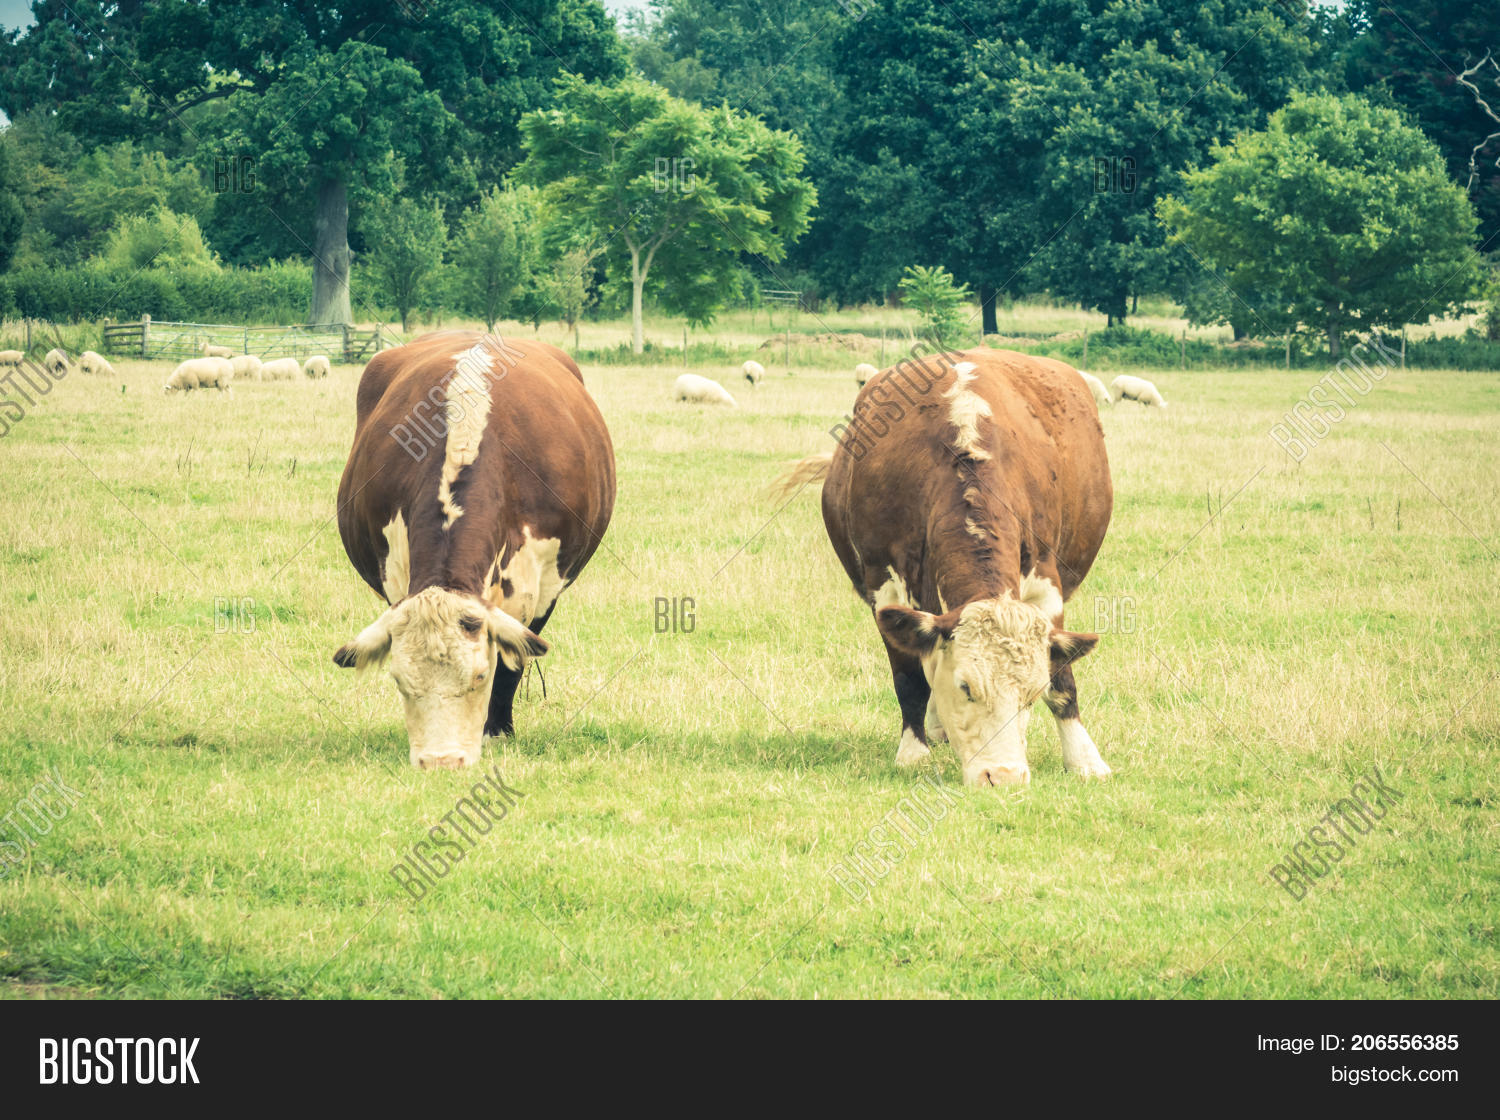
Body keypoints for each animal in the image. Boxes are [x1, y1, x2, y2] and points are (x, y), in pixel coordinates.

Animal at [334, 331, 616, 770]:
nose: (441, 762)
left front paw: (497, 730)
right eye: (399, 680)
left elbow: (512, 663)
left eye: (479, 676)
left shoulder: (532, 584)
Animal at [779, 347, 1114, 786]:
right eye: (966, 687)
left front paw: (1083, 757)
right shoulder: (885, 584)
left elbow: (1063, 681)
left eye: (1029, 696)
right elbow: (909, 677)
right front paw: (912, 752)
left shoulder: (1046, 584)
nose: (1004, 775)